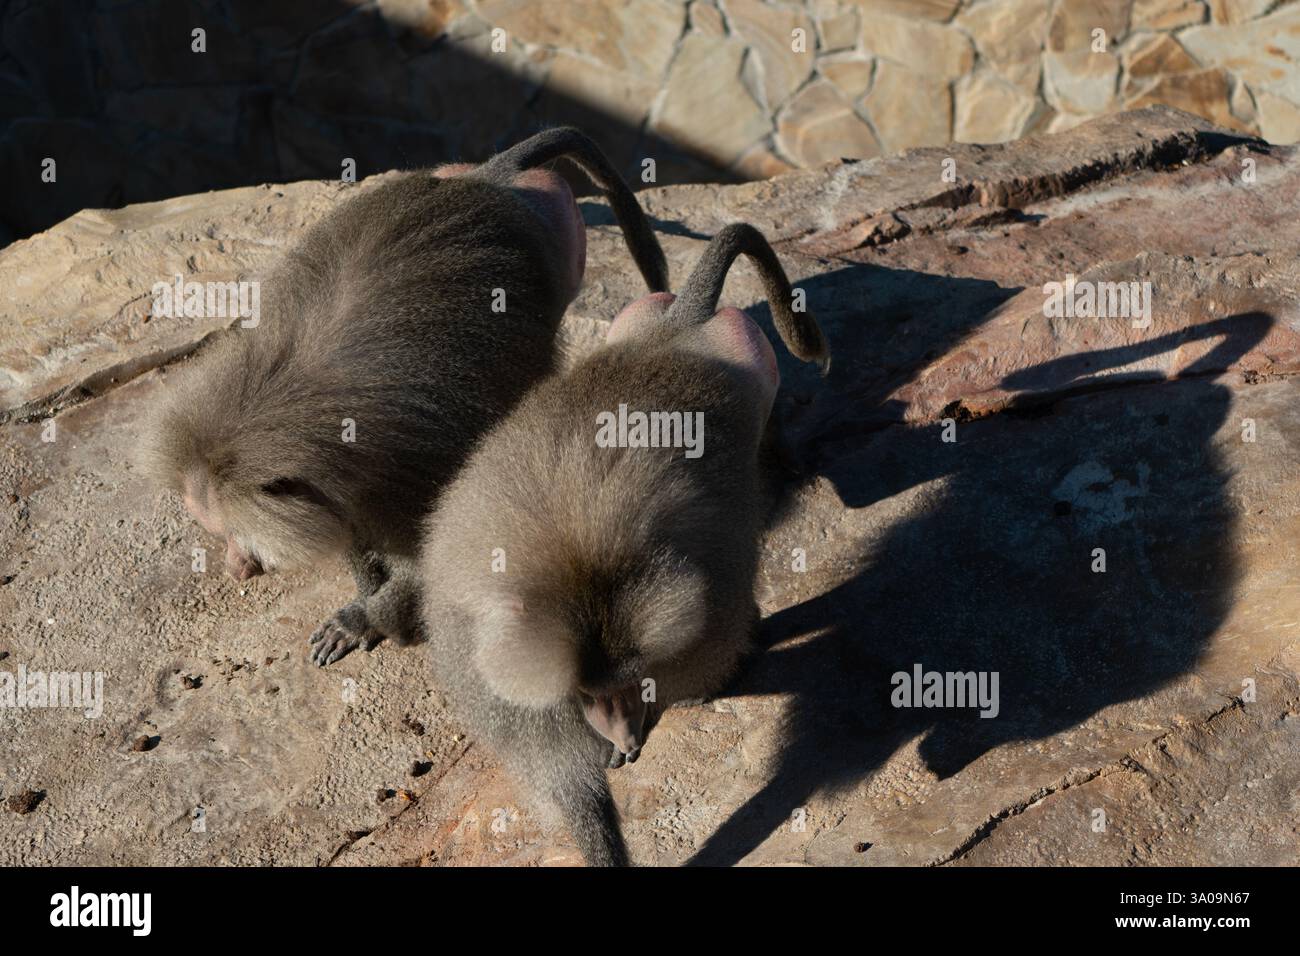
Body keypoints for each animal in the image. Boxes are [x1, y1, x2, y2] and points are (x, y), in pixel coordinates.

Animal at [142, 128, 669, 667]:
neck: (288, 400)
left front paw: (365, 620)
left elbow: (426, 556)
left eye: (229, 530)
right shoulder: (344, 488)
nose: (235, 569)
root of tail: (489, 178)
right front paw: (364, 596)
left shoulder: (415, 472)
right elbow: (356, 534)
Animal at [418, 222, 829, 865]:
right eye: (588, 694)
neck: (577, 562)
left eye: (631, 681)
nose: (628, 735)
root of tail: (676, 329)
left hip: (752, 363)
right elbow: (570, 785)